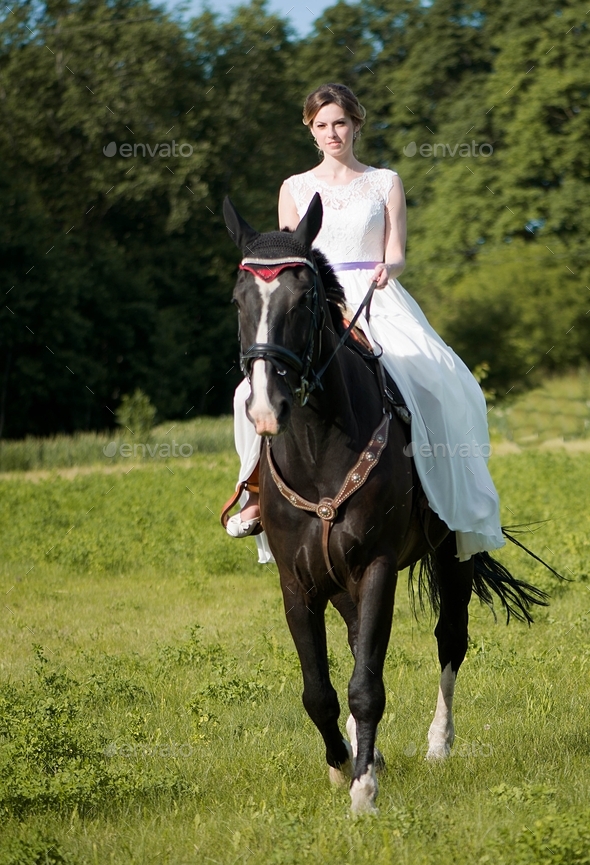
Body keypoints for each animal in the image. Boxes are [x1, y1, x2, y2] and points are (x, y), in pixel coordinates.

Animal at [222, 192, 549, 815]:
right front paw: (344, 764)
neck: (317, 448)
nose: (267, 407)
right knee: (358, 644)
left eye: (305, 298)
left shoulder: (375, 568)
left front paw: (363, 792)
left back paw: (438, 745)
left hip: (449, 554)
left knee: (450, 639)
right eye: (238, 298)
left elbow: (366, 685)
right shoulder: (297, 580)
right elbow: (320, 690)